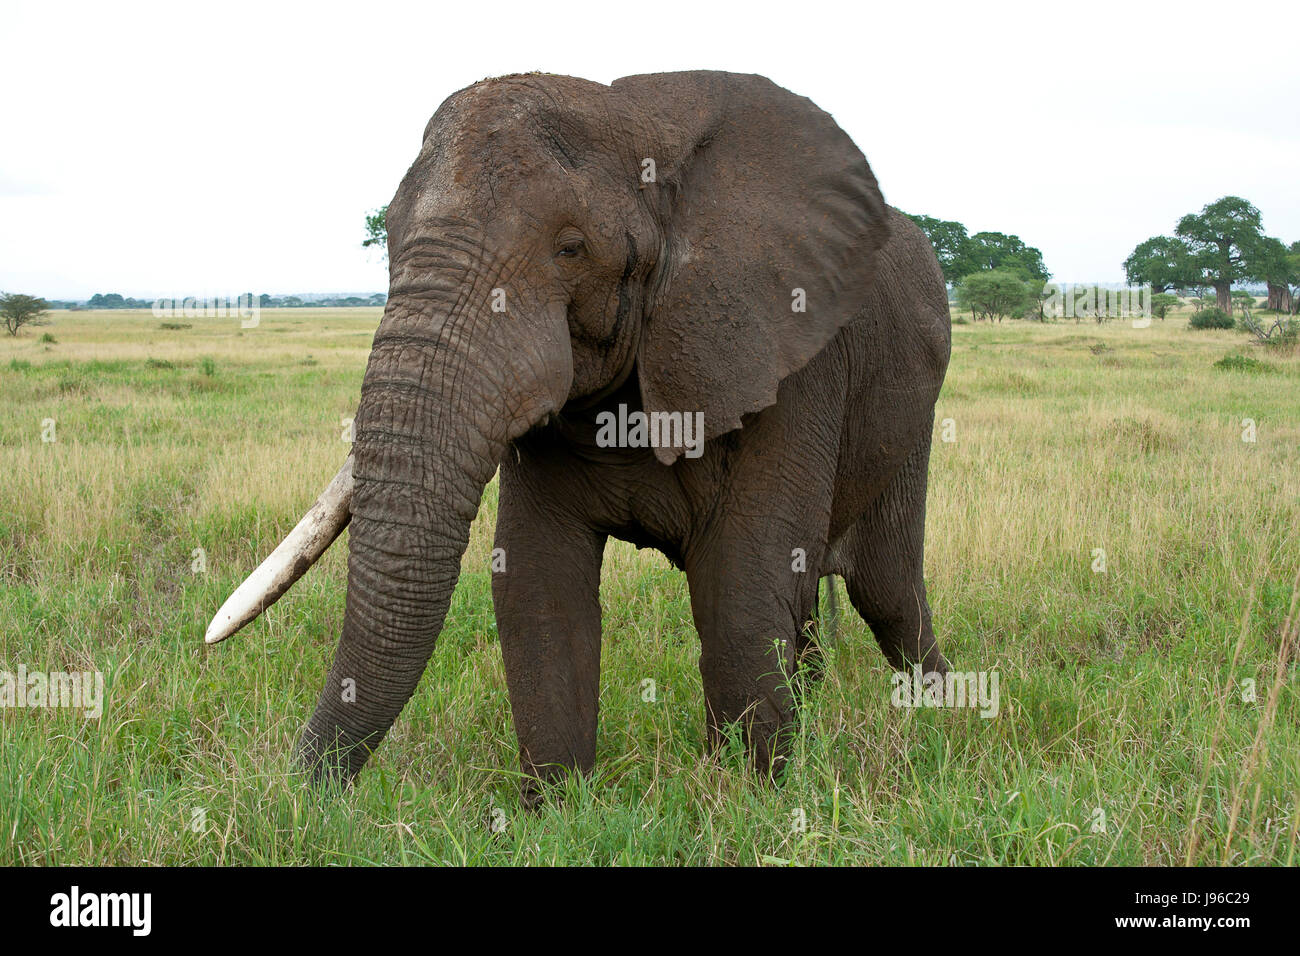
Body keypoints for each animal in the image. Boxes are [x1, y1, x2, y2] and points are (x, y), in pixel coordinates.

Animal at [207, 70, 952, 804]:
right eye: (386, 239)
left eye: (571, 249)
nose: (299, 794)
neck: (637, 118)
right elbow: (537, 582)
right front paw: (560, 812)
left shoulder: (787, 353)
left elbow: (744, 585)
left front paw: (753, 805)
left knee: (885, 592)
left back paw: (939, 727)